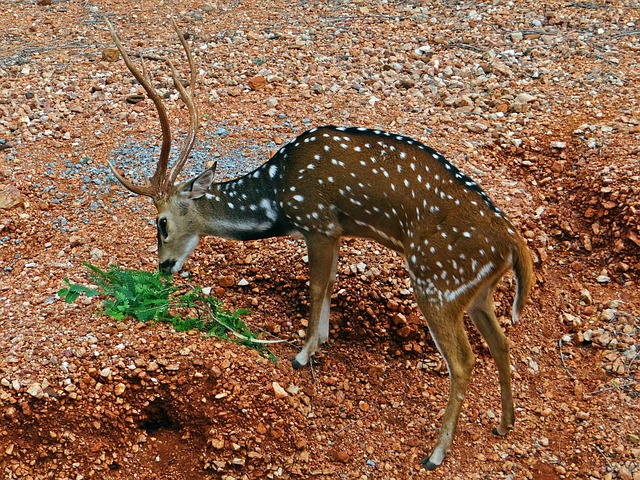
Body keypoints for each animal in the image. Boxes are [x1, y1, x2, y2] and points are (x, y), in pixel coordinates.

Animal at [104, 19, 534, 470]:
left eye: (161, 223)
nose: (164, 266)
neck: (278, 196)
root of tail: (513, 243)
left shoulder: (319, 223)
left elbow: (315, 286)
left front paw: (302, 353)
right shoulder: (338, 232)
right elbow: (329, 285)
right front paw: (322, 340)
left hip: (438, 283)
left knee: (464, 360)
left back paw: (435, 453)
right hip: (477, 292)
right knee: (502, 342)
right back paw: (504, 423)